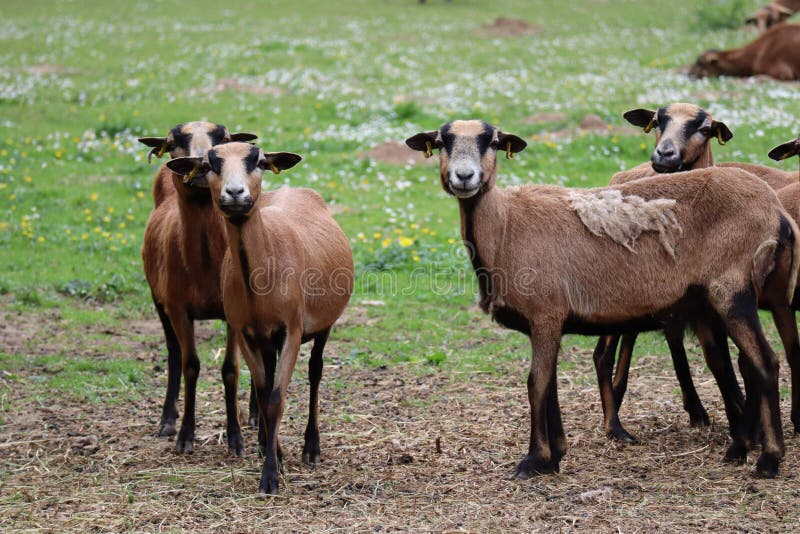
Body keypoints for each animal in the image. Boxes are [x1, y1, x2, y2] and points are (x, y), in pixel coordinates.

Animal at [139, 122, 259, 454]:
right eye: (172, 143)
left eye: (225, 138)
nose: (202, 162)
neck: (206, 266)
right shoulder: (177, 308)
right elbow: (190, 364)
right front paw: (185, 436)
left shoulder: (234, 312)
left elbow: (231, 369)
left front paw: (236, 439)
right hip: (158, 299)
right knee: (173, 352)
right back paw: (167, 420)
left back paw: (254, 415)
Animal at [166, 142, 354, 495]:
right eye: (209, 165)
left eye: (260, 162)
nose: (235, 193)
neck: (261, 277)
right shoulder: (243, 331)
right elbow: (265, 395)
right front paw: (273, 458)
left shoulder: (292, 329)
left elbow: (277, 398)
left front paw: (270, 478)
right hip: (266, 339)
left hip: (322, 325)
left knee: (316, 372)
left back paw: (312, 448)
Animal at [406, 119, 797, 478]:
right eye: (442, 142)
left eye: (492, 142)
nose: (464, 176)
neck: (505, 229)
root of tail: (777, 211)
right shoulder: (548, 321)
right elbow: (550, 384)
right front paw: (556, 455)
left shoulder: (545, 313)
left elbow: (536, 383)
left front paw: (534, 460)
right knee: (748, 365)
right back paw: (739, 449)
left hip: (732, 290)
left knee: (765, 363)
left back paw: (767, 460)